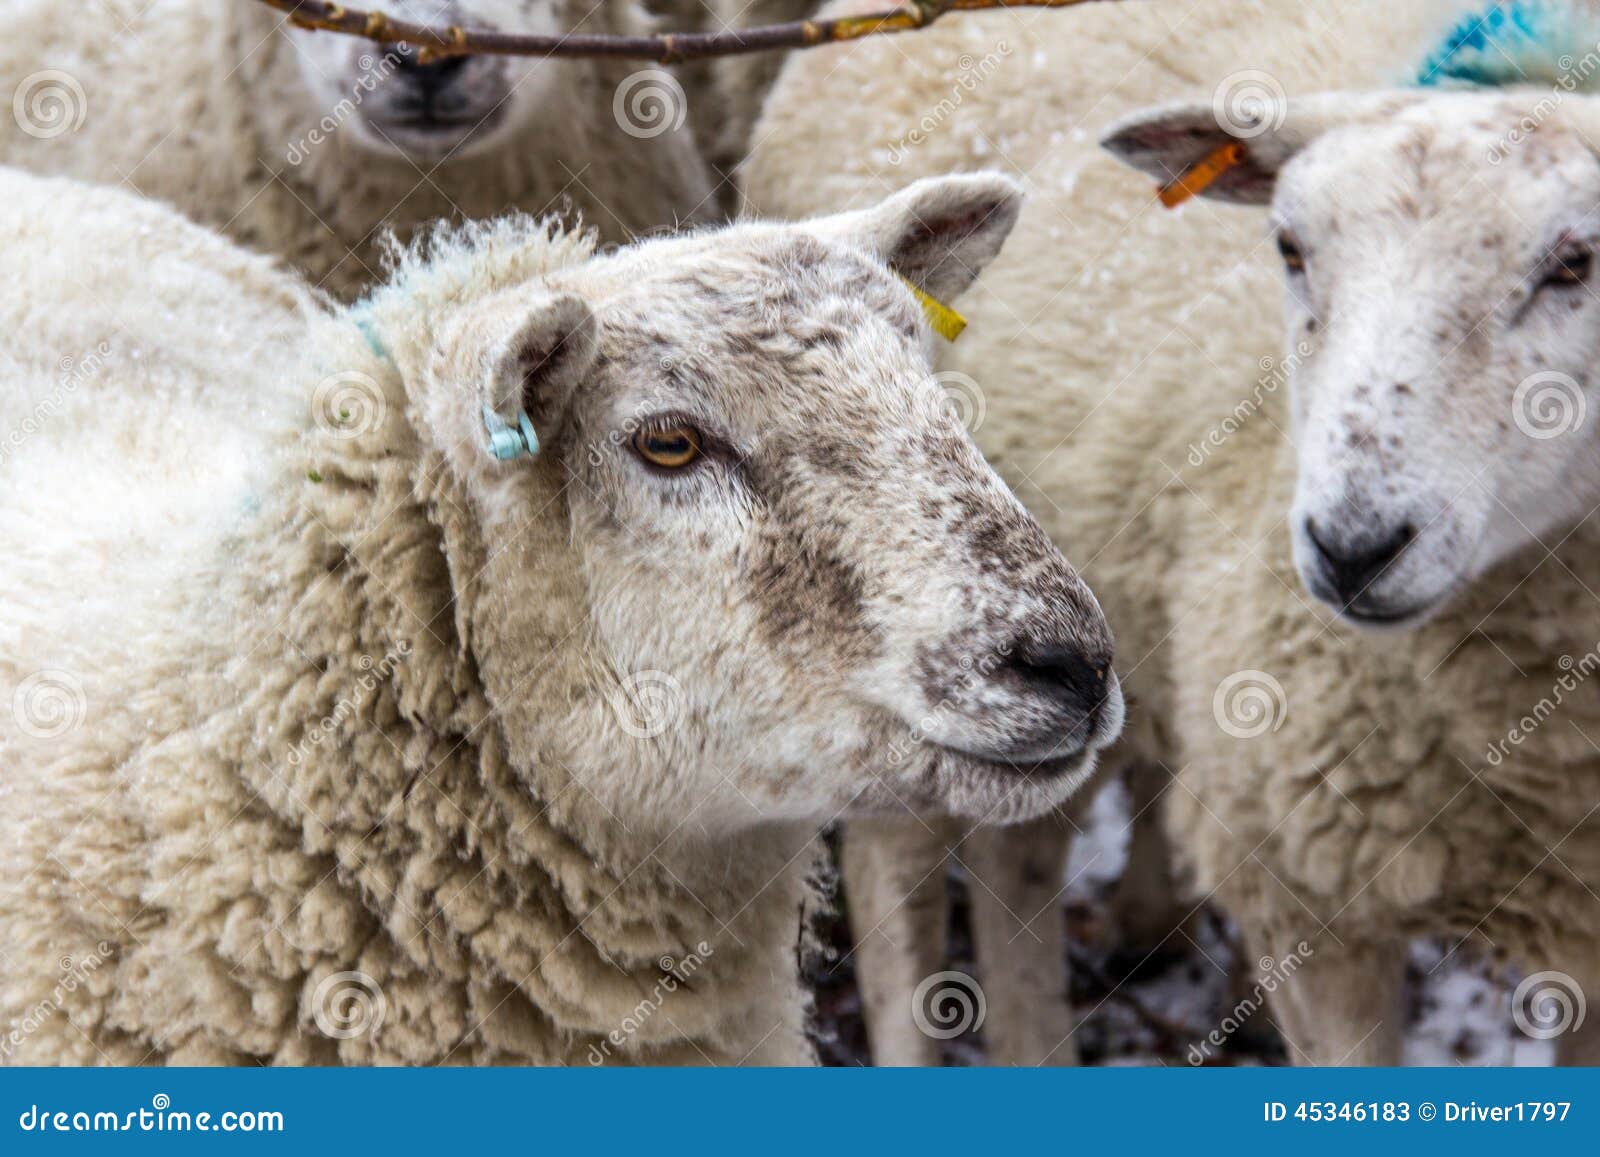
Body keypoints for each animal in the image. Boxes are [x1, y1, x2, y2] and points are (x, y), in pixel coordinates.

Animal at [742, 0, 1600, 1065]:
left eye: (1576, 263)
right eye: (1289, 248)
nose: (1351, 547)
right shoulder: (1304, 887)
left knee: (1019, 852)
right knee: (896, 881)